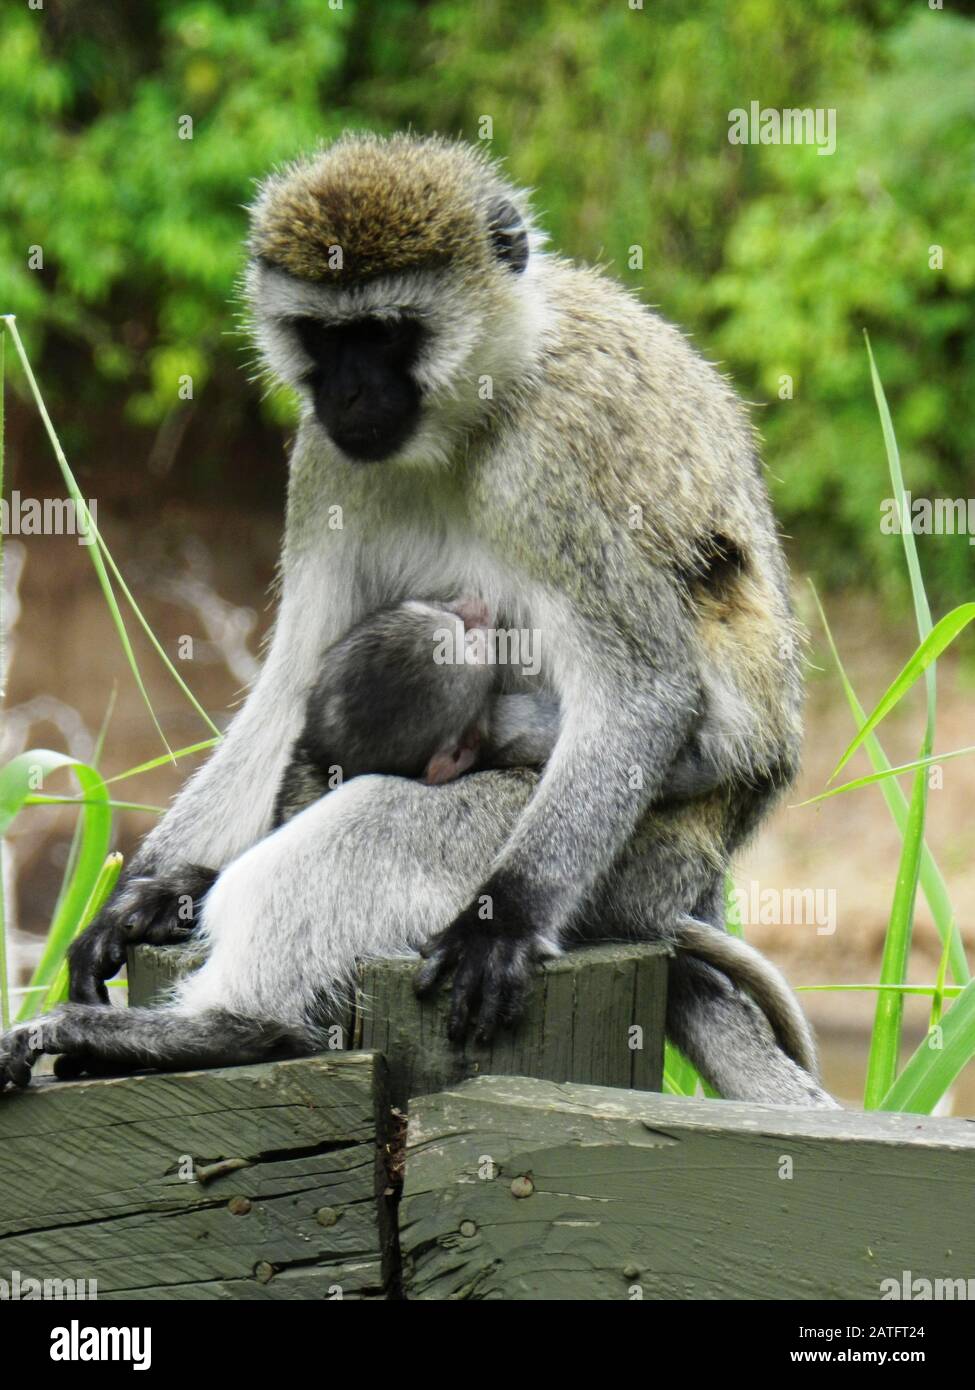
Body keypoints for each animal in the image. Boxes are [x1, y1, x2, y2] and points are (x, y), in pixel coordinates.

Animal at [0, 133, 835, 1108]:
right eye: (325, 337)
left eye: (387, 332)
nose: (350, 396)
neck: (487, 400)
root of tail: (693, 891)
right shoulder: (322, 458)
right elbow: (290, 683)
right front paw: (143, 893)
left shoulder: (555, 457)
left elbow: (645, 687)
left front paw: (503, 920)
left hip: (639, 864)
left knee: (383, 821)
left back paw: (231, 1029)